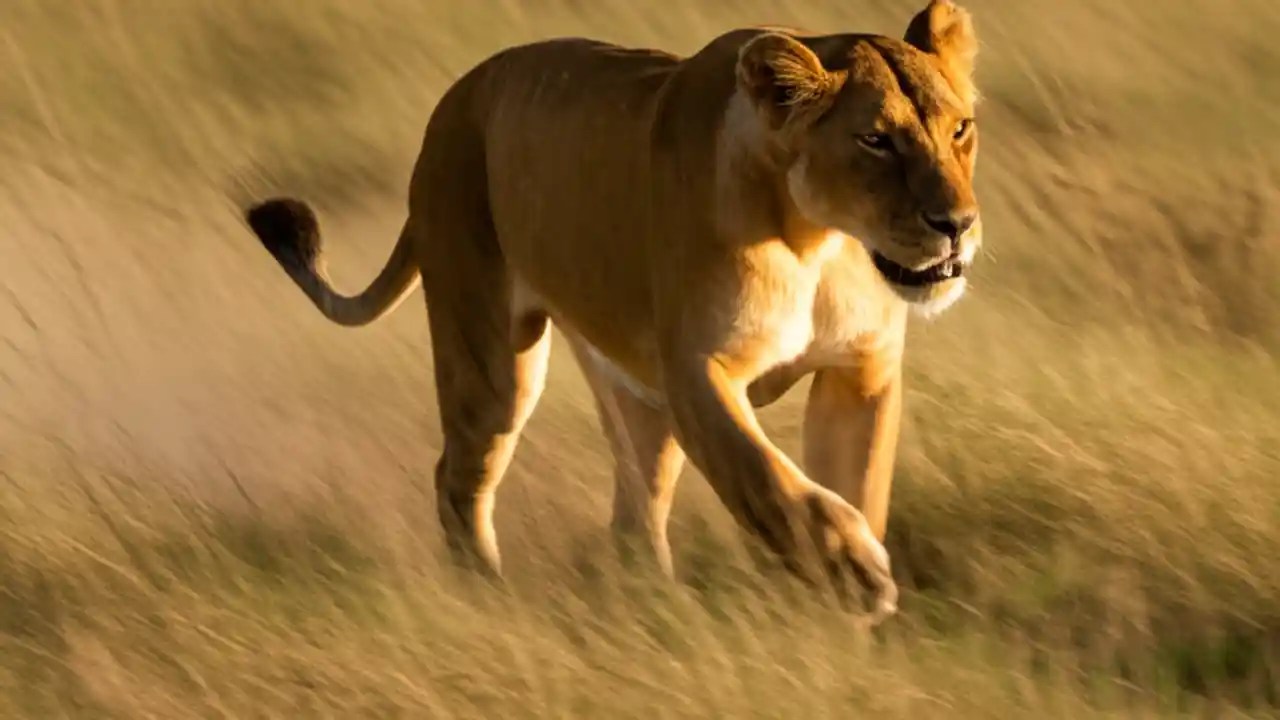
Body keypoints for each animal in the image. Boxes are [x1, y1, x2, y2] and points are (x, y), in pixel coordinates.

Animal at [244, 0, 983, 624]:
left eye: (960, 129)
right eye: (876, 141)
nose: (957, 225)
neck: (818, 238)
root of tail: (456, 99)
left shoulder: (861, 371)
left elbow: (857, 487)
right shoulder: (697, 370)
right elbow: (768, 479)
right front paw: (856, 574)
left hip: (633, 395)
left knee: (633, 514)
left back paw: (656, 613)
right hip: (493, 362)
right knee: (458, 477)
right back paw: (490, 598)